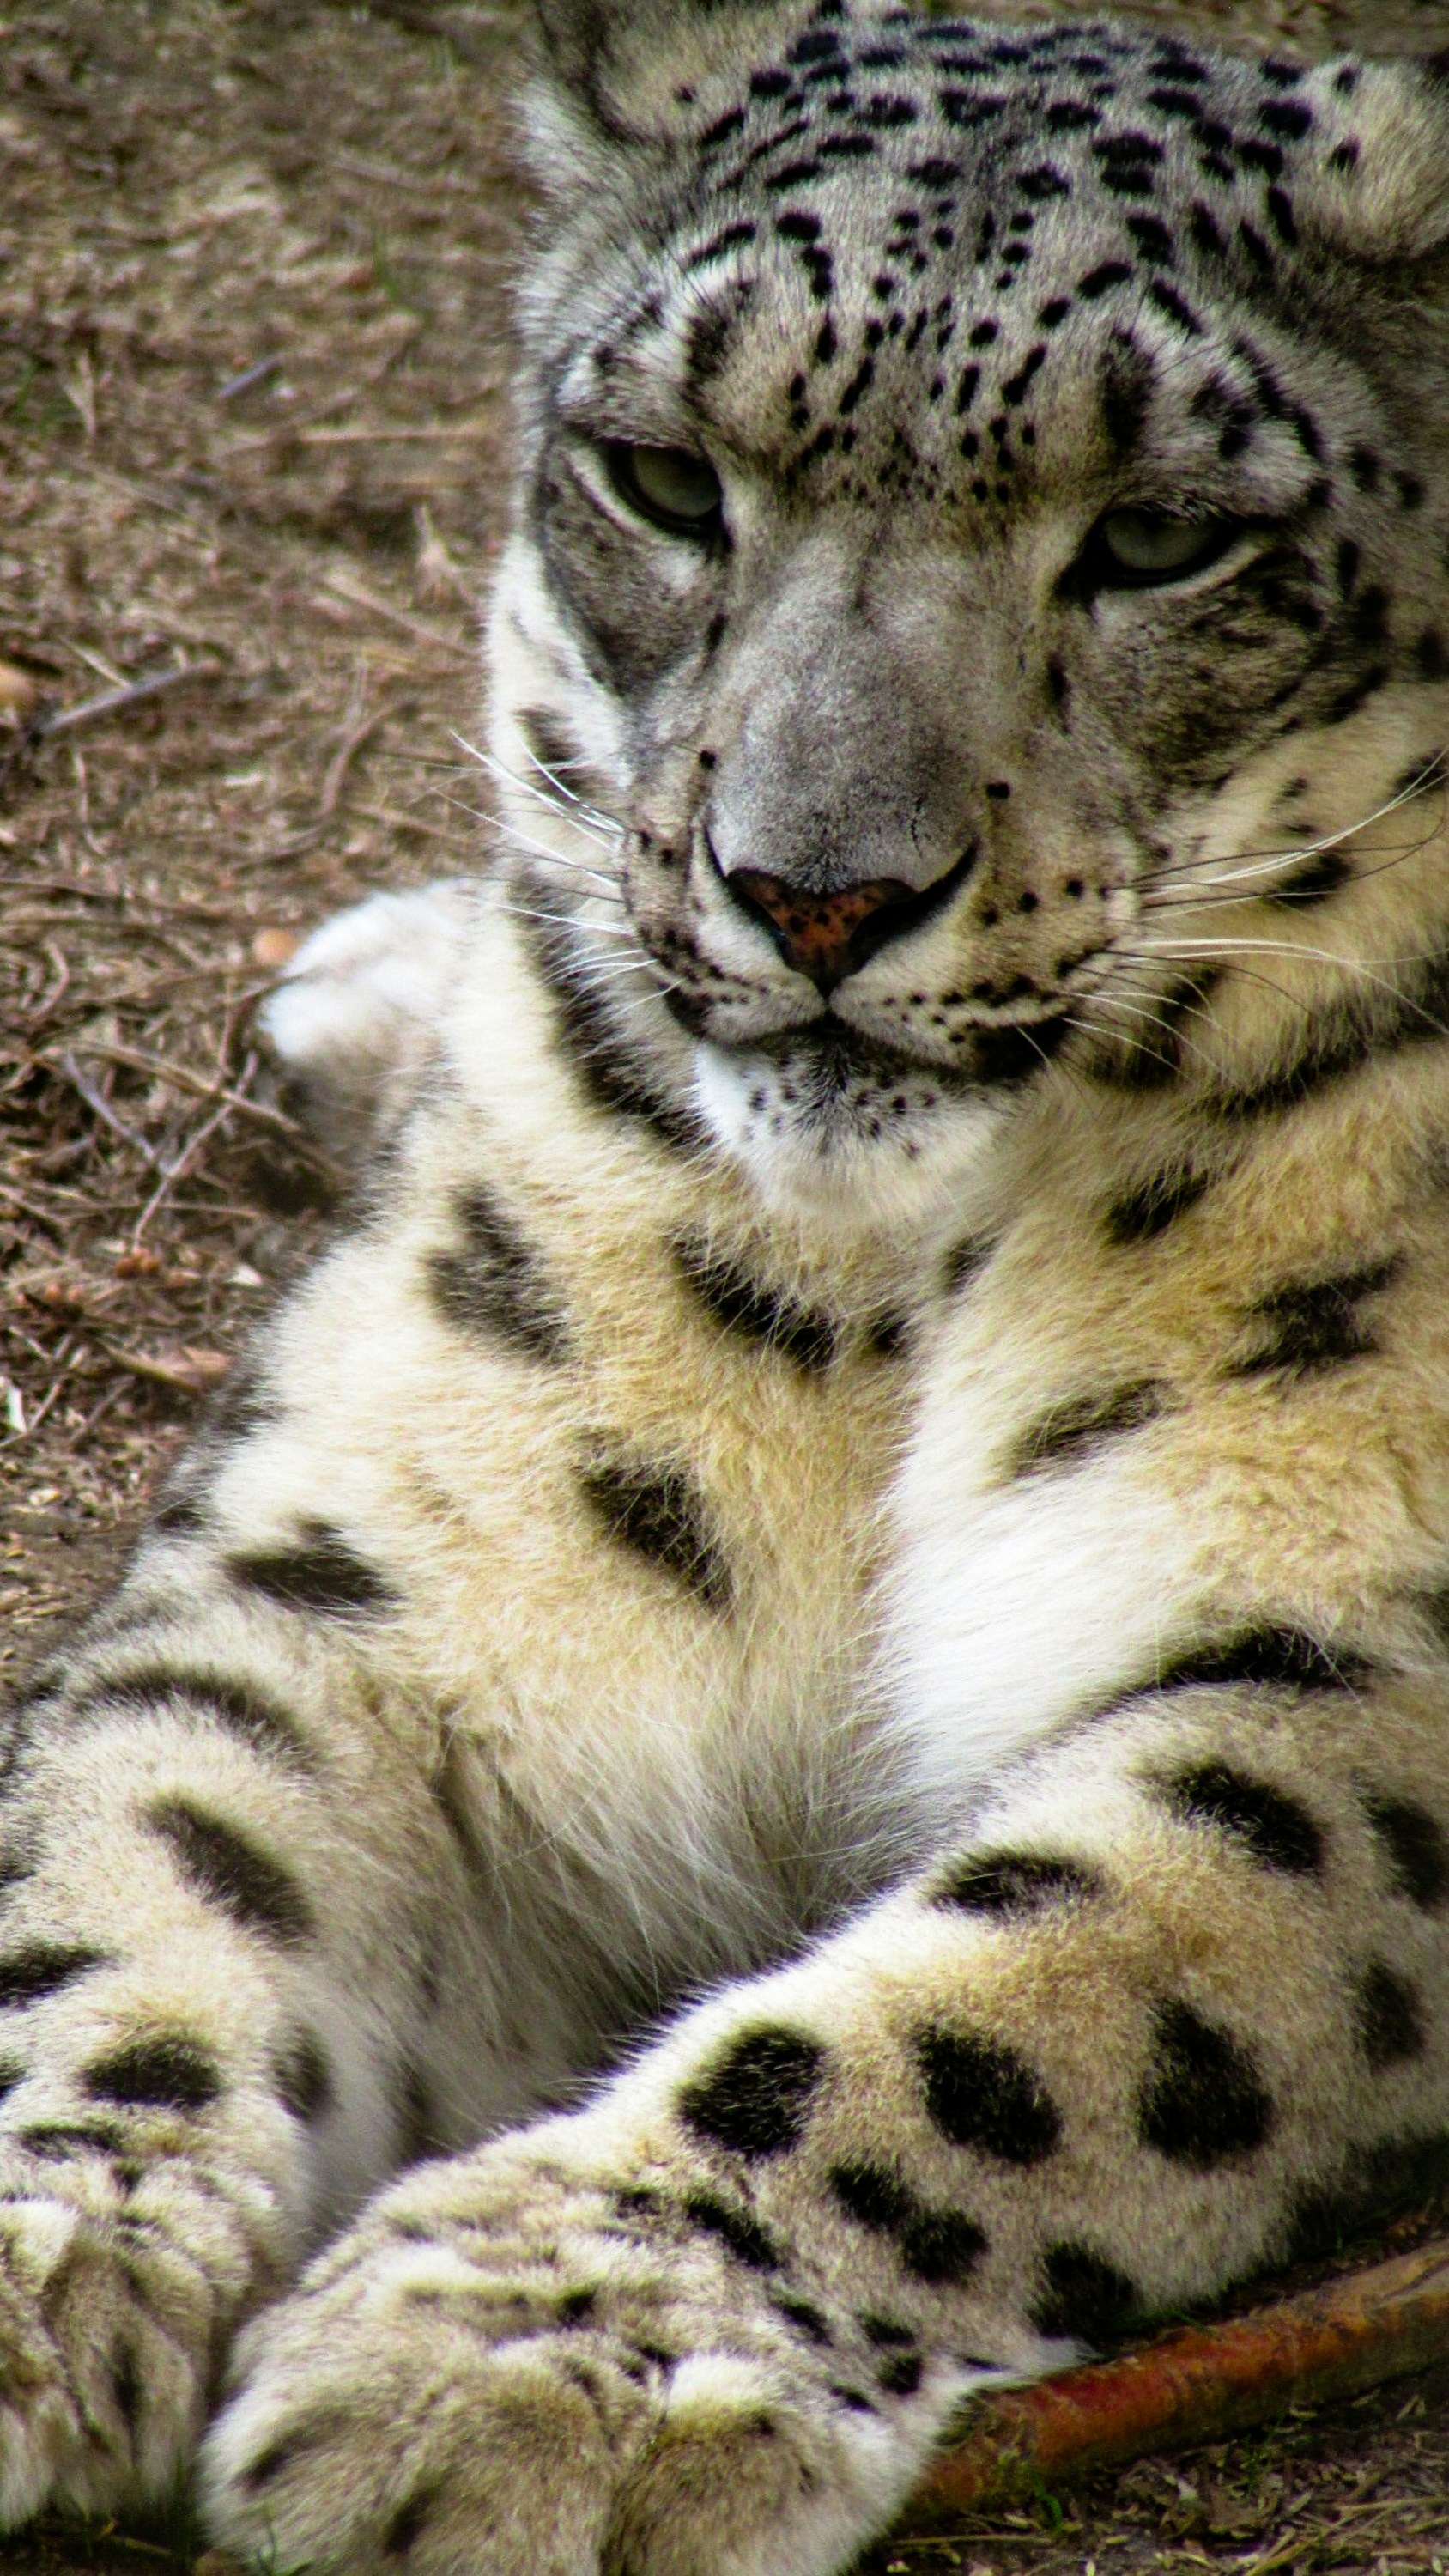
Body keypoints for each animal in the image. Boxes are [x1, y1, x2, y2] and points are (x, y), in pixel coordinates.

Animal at [5, 4, 1449, 2570]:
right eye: (668, 477)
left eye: (1165, 535)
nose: (813, 891)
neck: (894, 1299)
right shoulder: (383, 1553)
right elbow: (158, 1832)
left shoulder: (1361, 1652)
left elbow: (1043, 1992)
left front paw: (525, 2355)